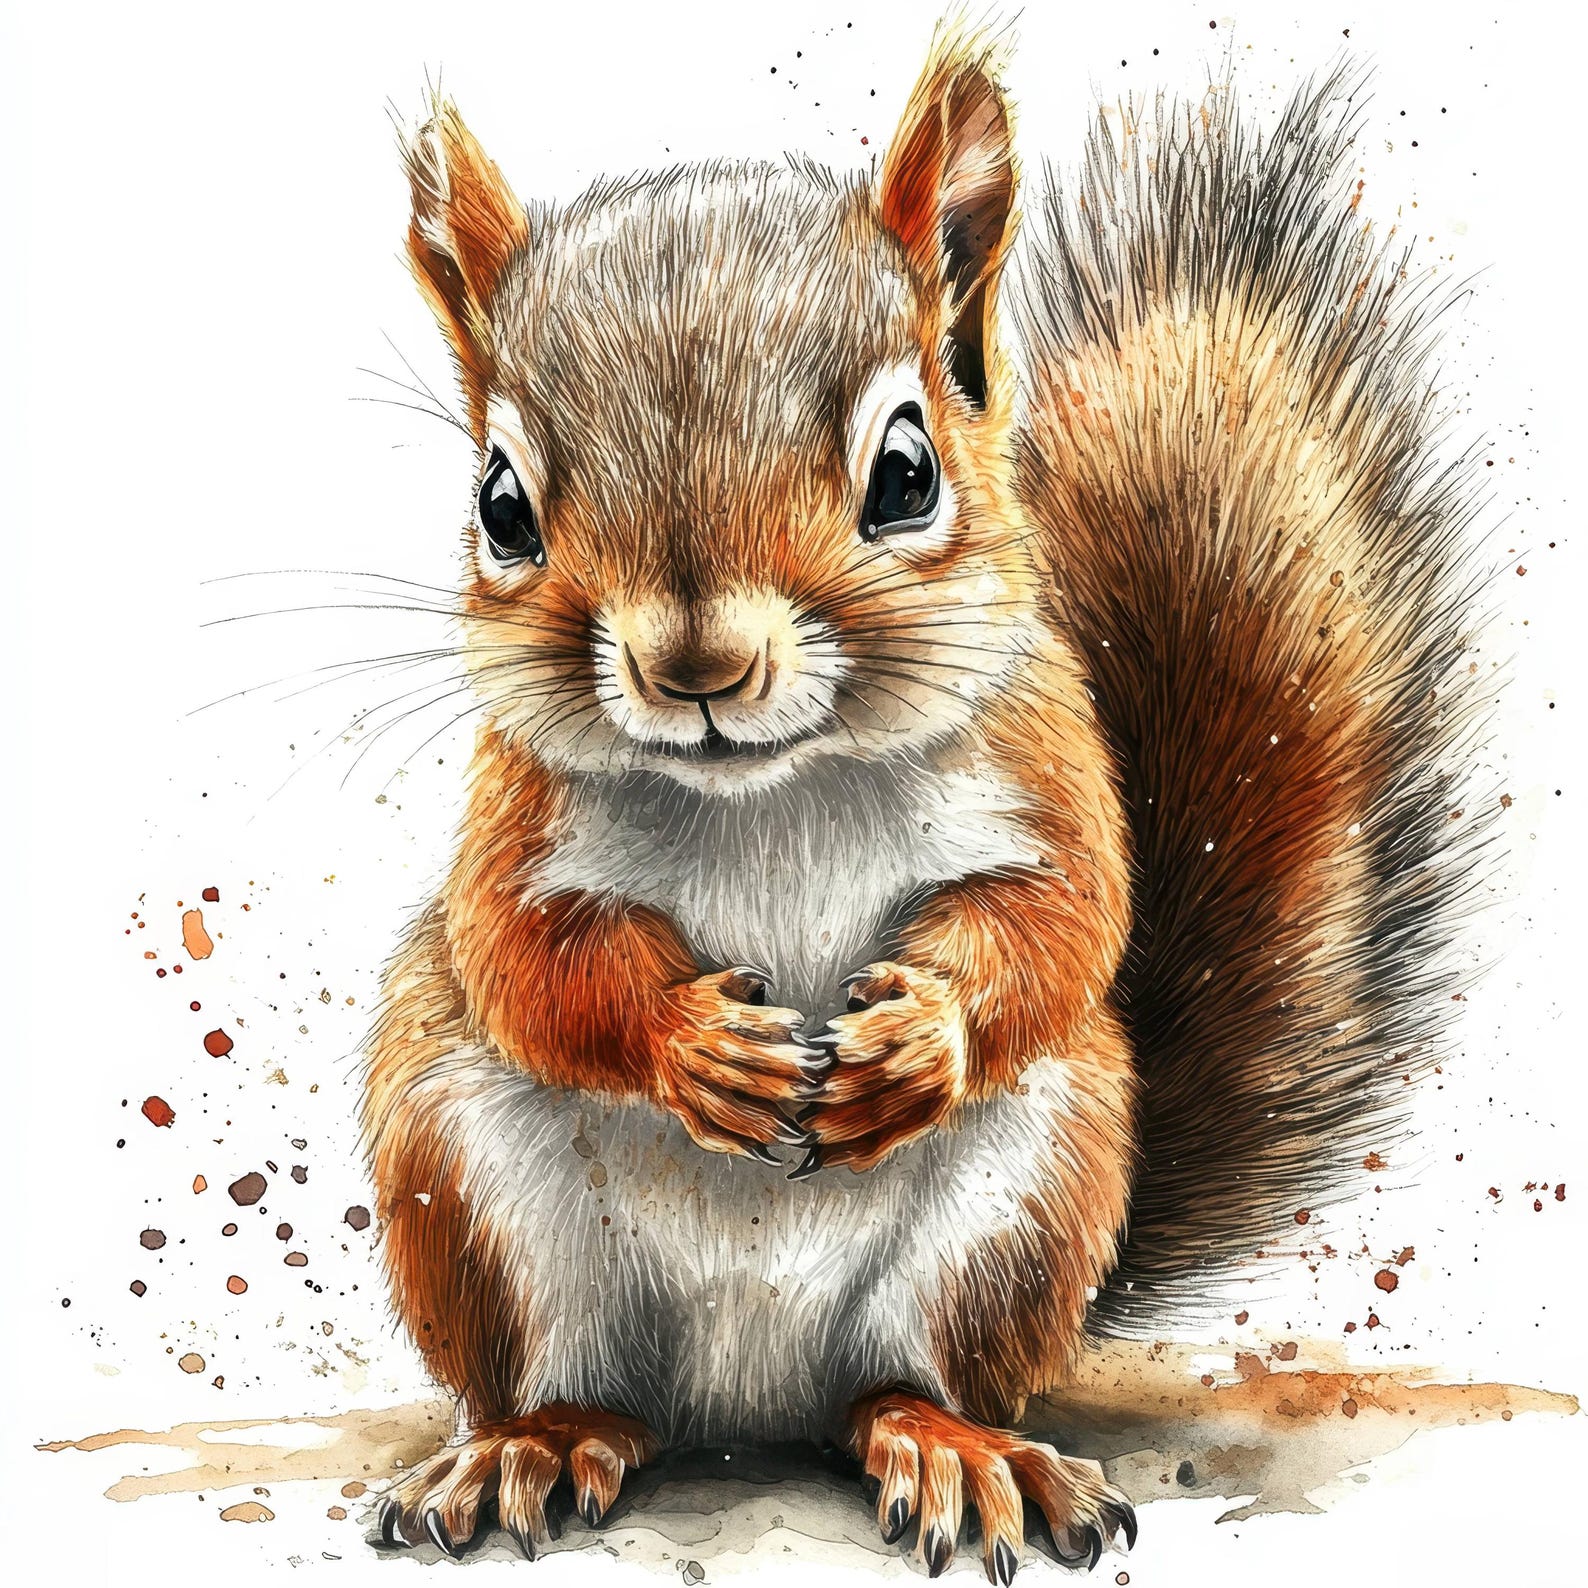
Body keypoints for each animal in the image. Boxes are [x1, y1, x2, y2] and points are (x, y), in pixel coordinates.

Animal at [362, 27, 1488, 1579]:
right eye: (502, 507)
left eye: (906, 474)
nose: (696, 667)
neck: (771, 789)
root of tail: (744, 1401)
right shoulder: (516, 815)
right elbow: (521, 960)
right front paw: (697, 1045)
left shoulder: (1044, 758)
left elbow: (1069, 922)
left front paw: (920, 1040)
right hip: (463, 1180)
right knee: (581, 1379)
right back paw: (531, 1442)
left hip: (1025, 1199)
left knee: (902, 1382)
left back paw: (953, 1445)